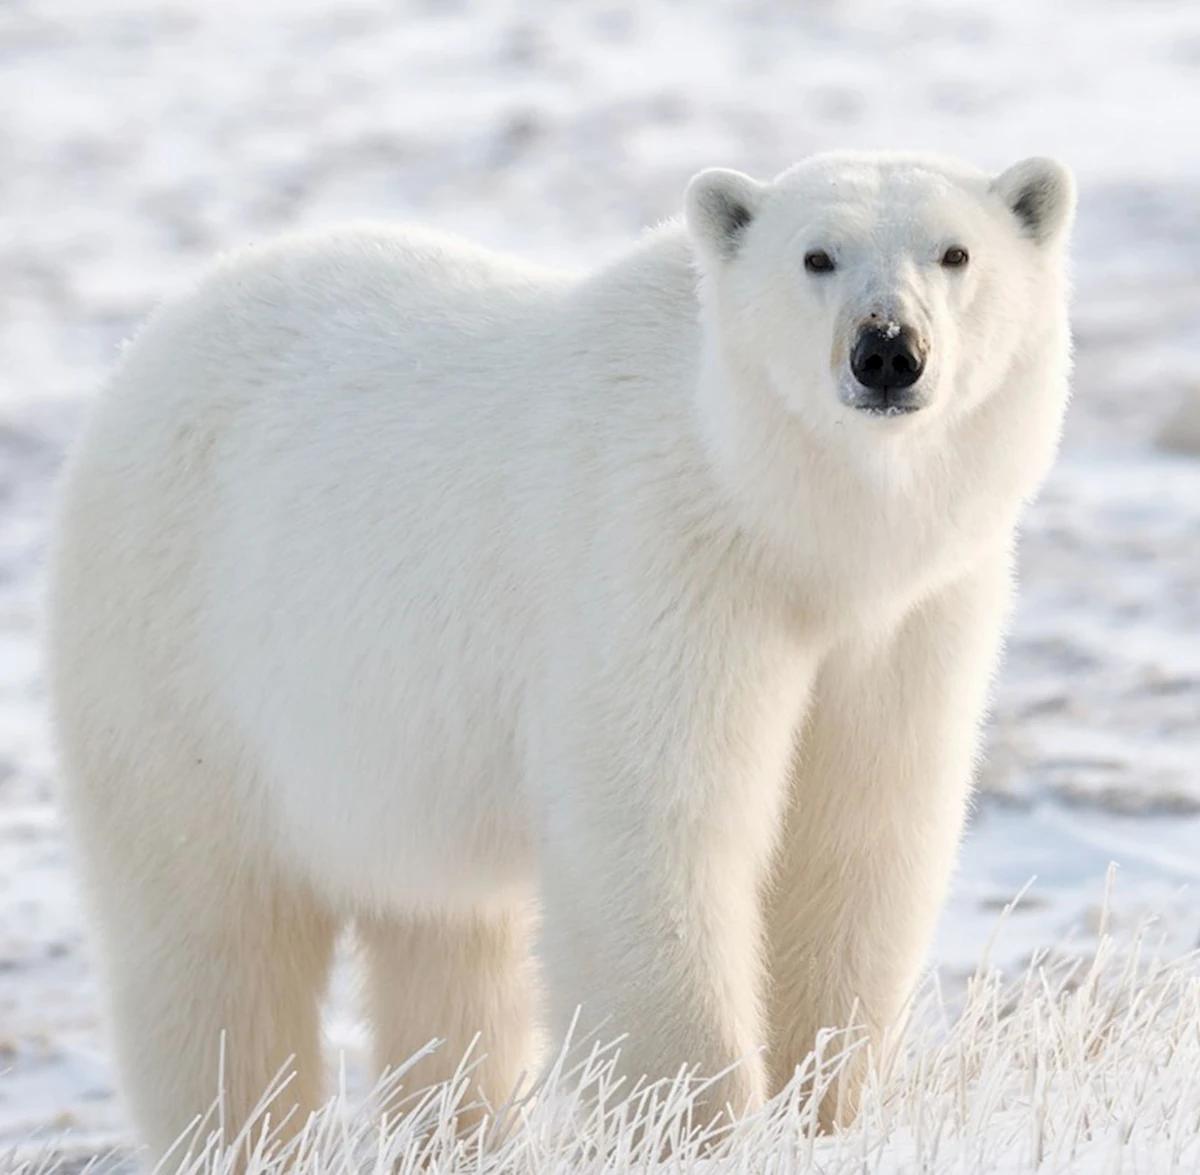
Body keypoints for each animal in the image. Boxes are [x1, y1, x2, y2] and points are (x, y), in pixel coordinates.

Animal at [46, 150, 1075, 1161]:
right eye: (817, 256)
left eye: (955, 252)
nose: (888, 349)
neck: (788, 527)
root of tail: (152, 342)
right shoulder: (660, 564)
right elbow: (657, 834)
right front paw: (699, 1126)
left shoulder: (909, 619)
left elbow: (858, 835)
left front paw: (825, 1110)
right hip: (180, 665)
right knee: (214, 946)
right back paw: (243, 1131)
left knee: (447, 949)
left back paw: (457, 1132)